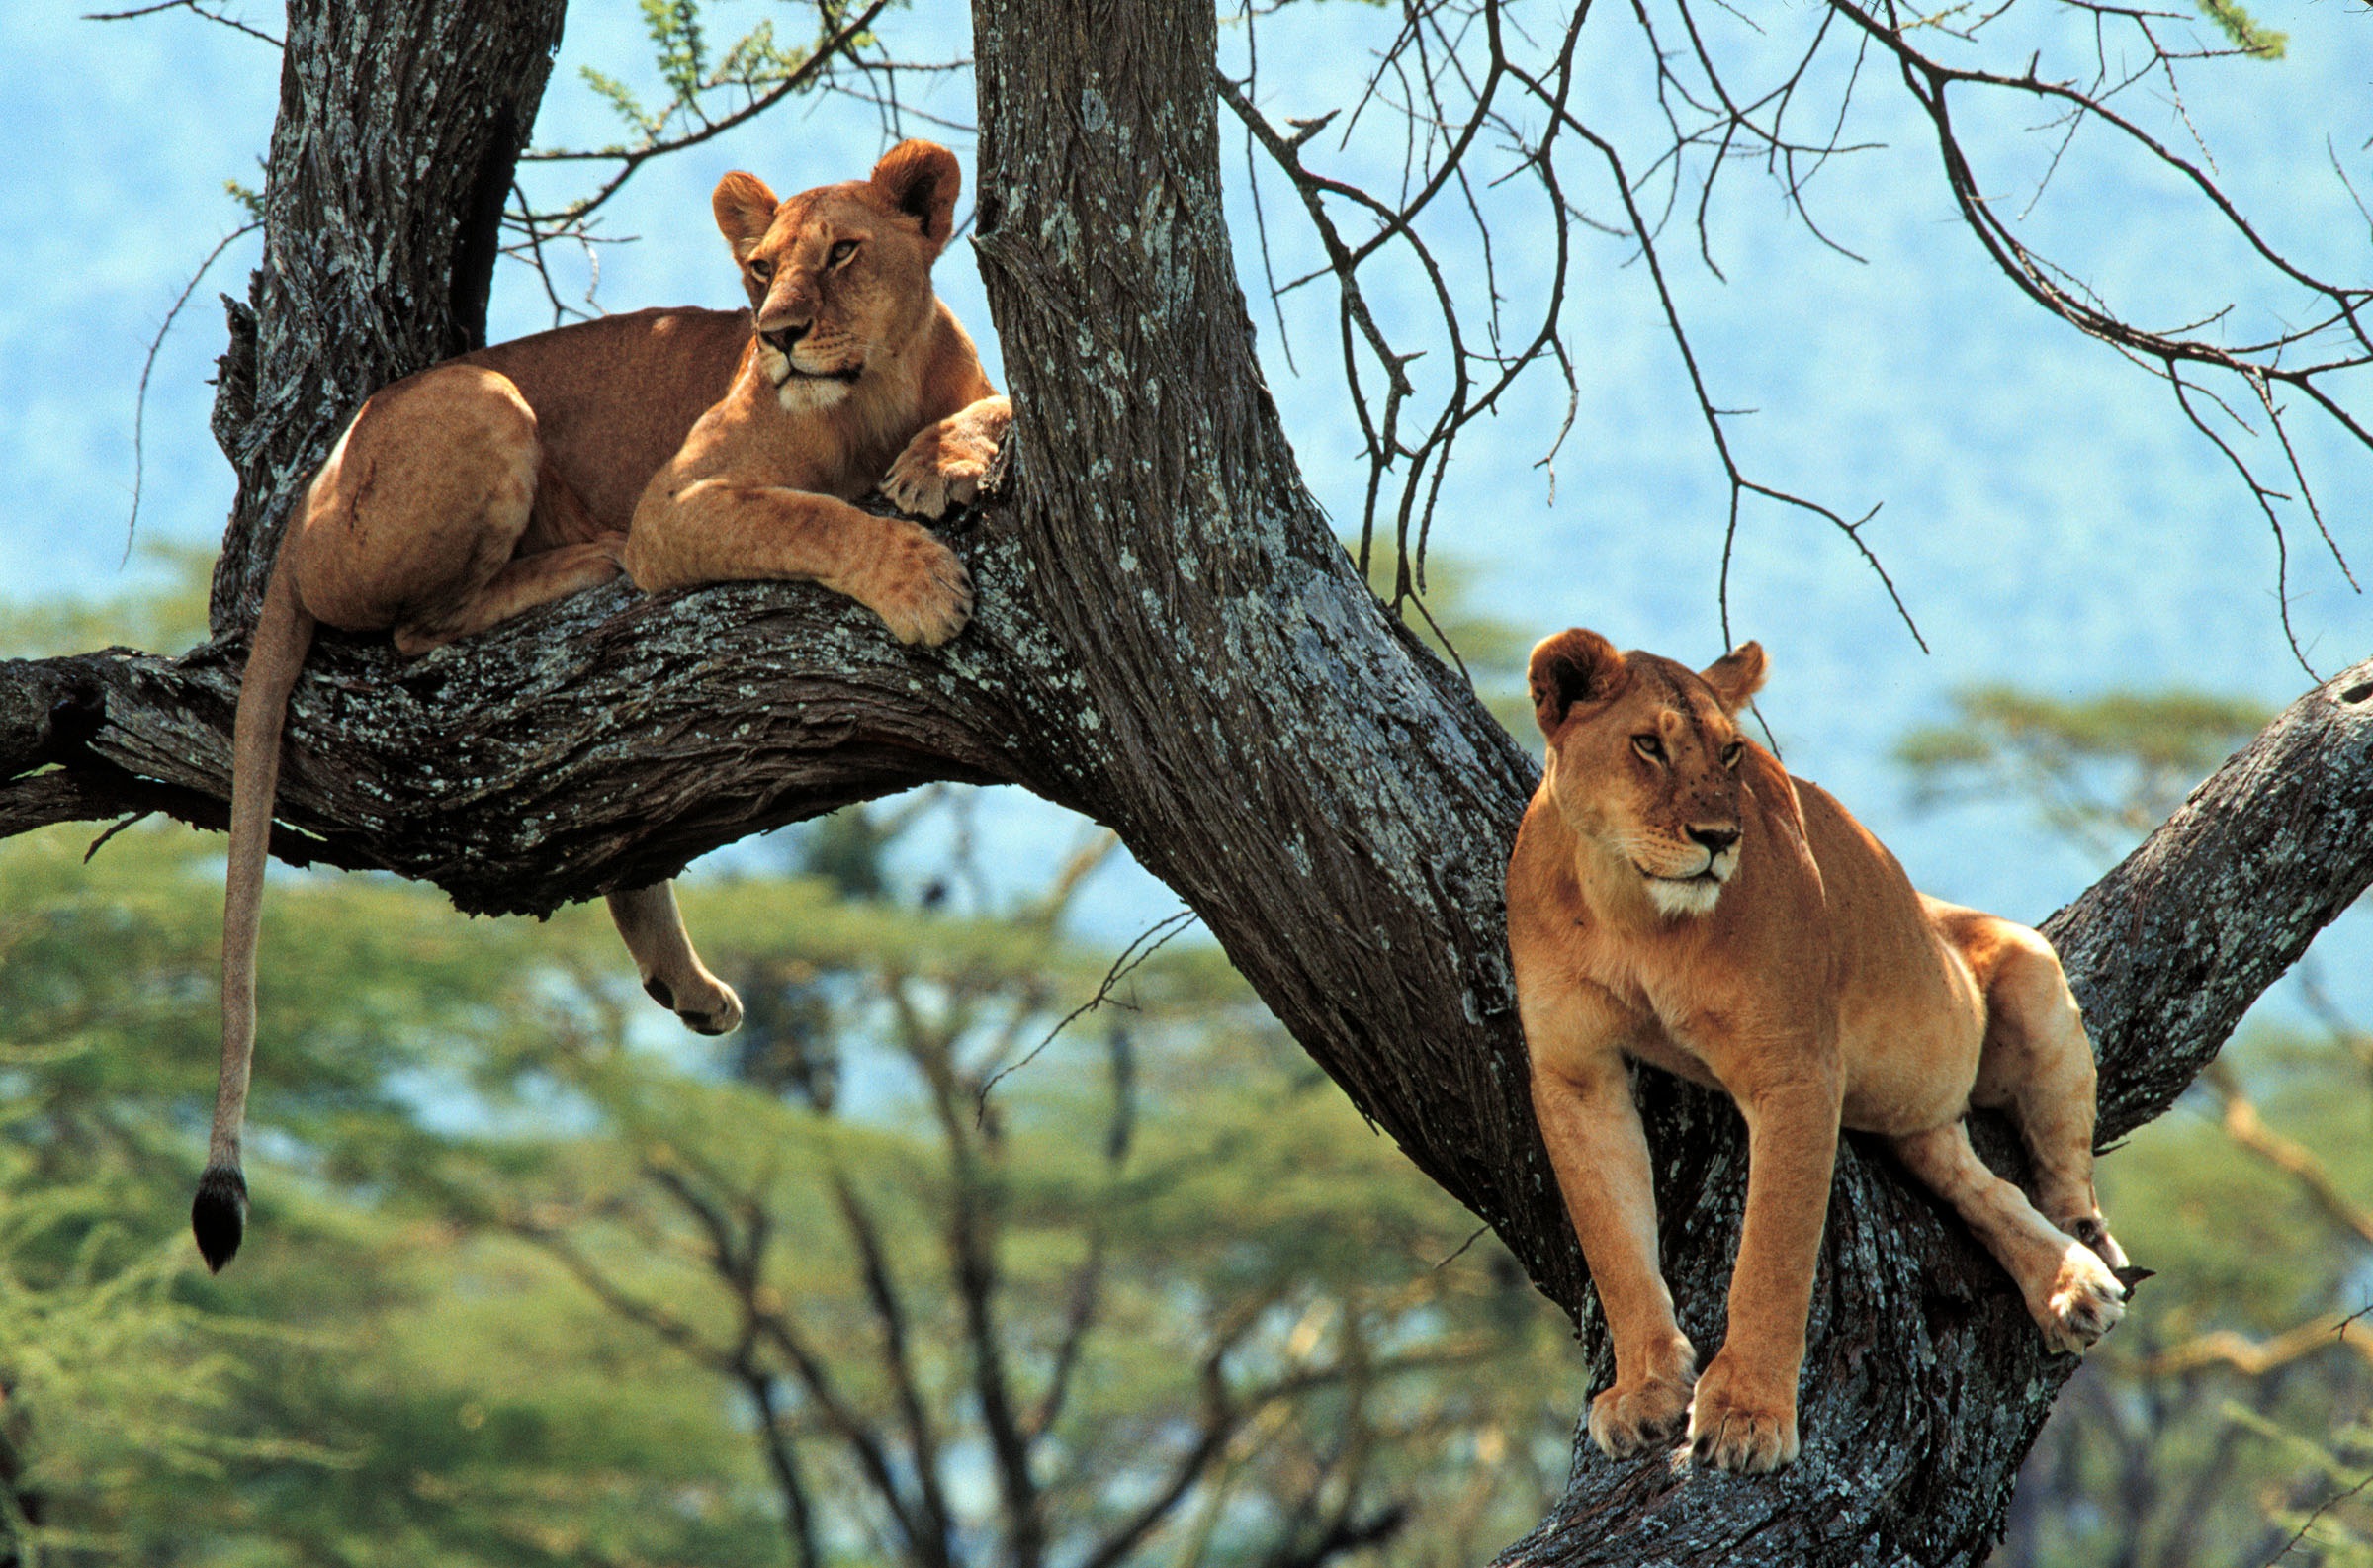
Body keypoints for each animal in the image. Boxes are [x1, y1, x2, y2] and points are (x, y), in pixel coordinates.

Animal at [200, 140, 1010, 1271]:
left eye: (845, 253)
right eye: (761, 268)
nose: (776, 338)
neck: (876, 390)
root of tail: (303, 504)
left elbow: (995, 406)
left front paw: (945, 460)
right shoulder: (679, 505)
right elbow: (817, 515)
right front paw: (919, 580)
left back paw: (689, 988)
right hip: (488, 399)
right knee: (420, 629)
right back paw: (585, 559)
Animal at [1506, 628, 2130, 1474]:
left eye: (1732, 753)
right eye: (1647, 746)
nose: (1719, 840)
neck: (1629, 909)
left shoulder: (1795, 1071)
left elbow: (1773, 1253)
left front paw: (1746, 1415)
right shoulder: (1574, 1071)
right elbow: (1614, 1243)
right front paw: (1643, 1391)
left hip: (2029, 969)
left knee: (2063, 1168)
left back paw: (2086, 1257)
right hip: (1915, 1112)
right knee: (1977, 1183)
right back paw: (2067, 1280)